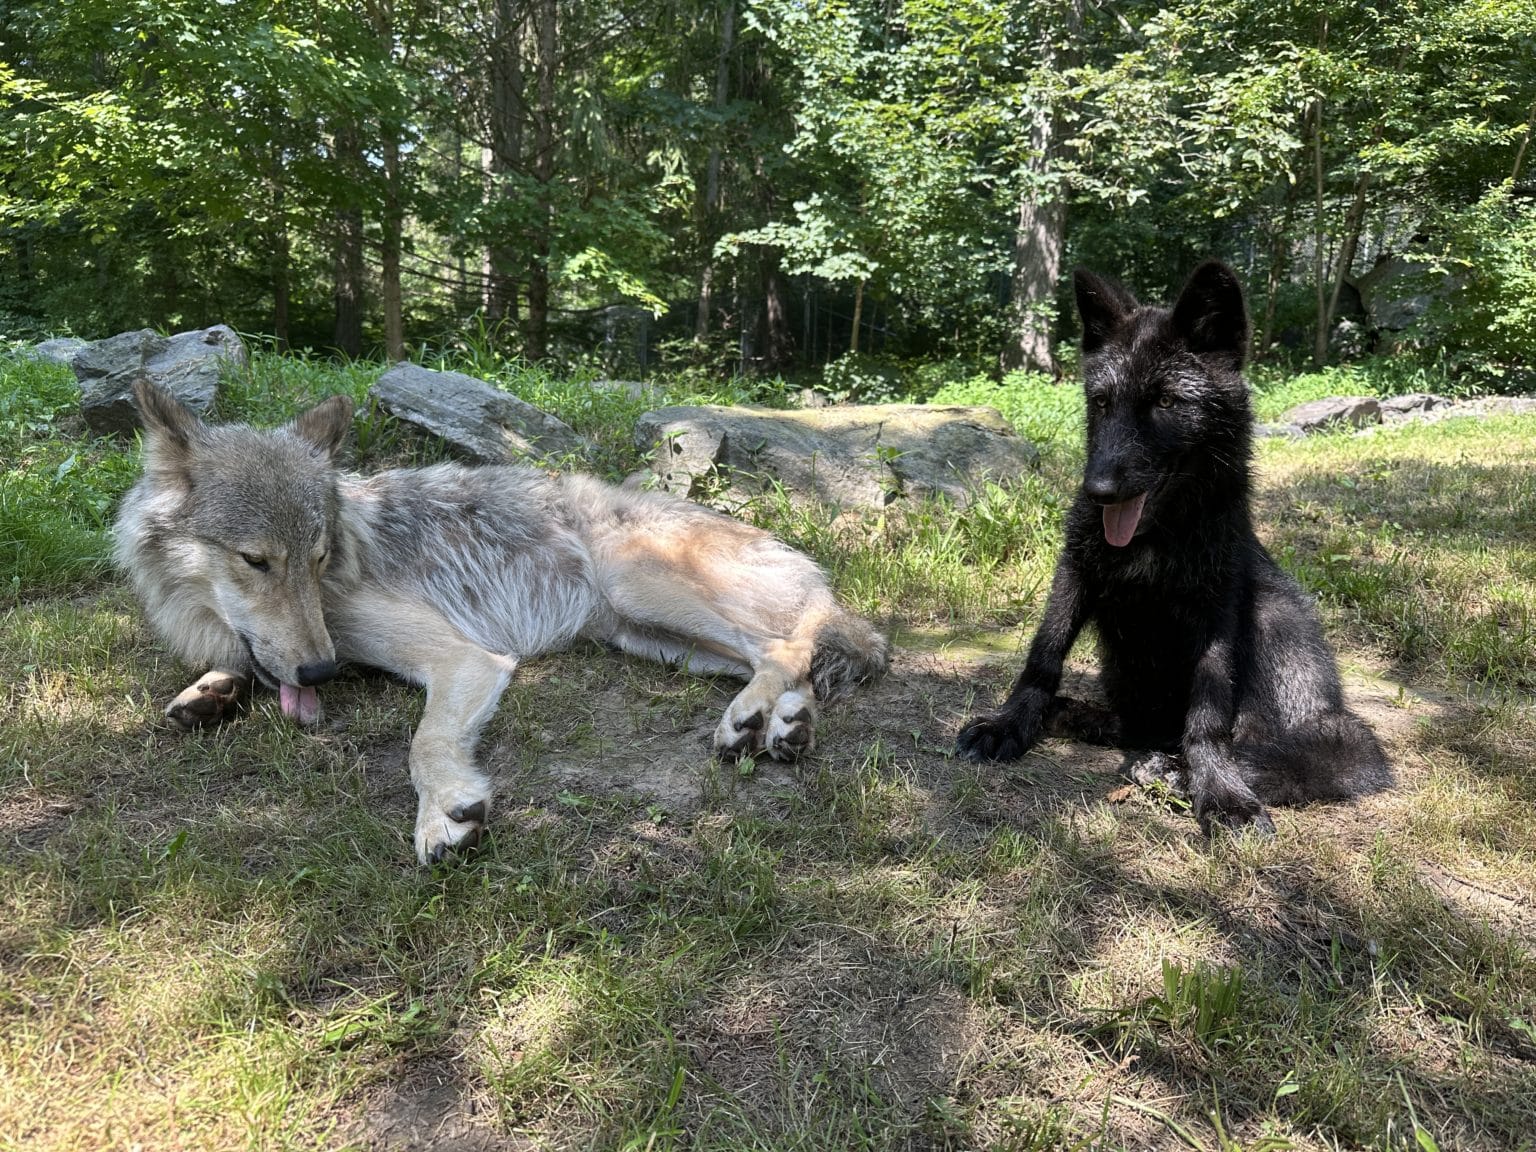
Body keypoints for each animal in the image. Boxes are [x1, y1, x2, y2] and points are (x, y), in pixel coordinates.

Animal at [114, 381, 888, 863]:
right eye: (256, 561)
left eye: (320, 555)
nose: (322, 670)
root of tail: (812, 567)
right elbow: (242, 665)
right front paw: (211, 690)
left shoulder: (465, 659)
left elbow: (424, 744)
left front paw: (445, 813)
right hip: (647, 637)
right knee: (797, 665)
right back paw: (785, 726)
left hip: (636, 585)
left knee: (784, 646)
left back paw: (751, 718)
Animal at [956, 261, 1390, 833]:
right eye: (1101, 403)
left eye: (1165, 401)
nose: (1097, 491)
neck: (1158, 535)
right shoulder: (1075, 574)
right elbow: (1042, 659)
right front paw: (1010, 724)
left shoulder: (1217, 606)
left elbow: (1208, 712)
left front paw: (1218, 787)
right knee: (1144, 725)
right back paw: (1084, 720)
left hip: (1272, 616)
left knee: (1293, 753)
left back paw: (1178, 769)